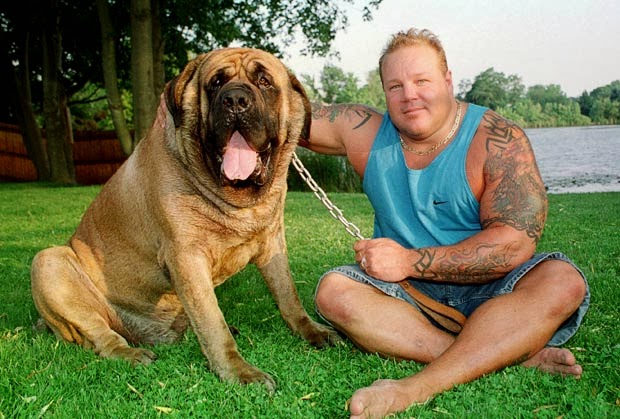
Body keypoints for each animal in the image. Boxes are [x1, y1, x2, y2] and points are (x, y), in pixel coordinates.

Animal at [30, 47, 340, 392]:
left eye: (264, 81)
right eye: (215, 83)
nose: (235, 100)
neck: (235, 200)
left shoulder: (273, 243)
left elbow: (288, 296)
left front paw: (313, 330)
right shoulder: (186, 256)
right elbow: (212, 321)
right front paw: (239, 372)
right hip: (50, 262)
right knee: (101, 335)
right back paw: (130, 353)